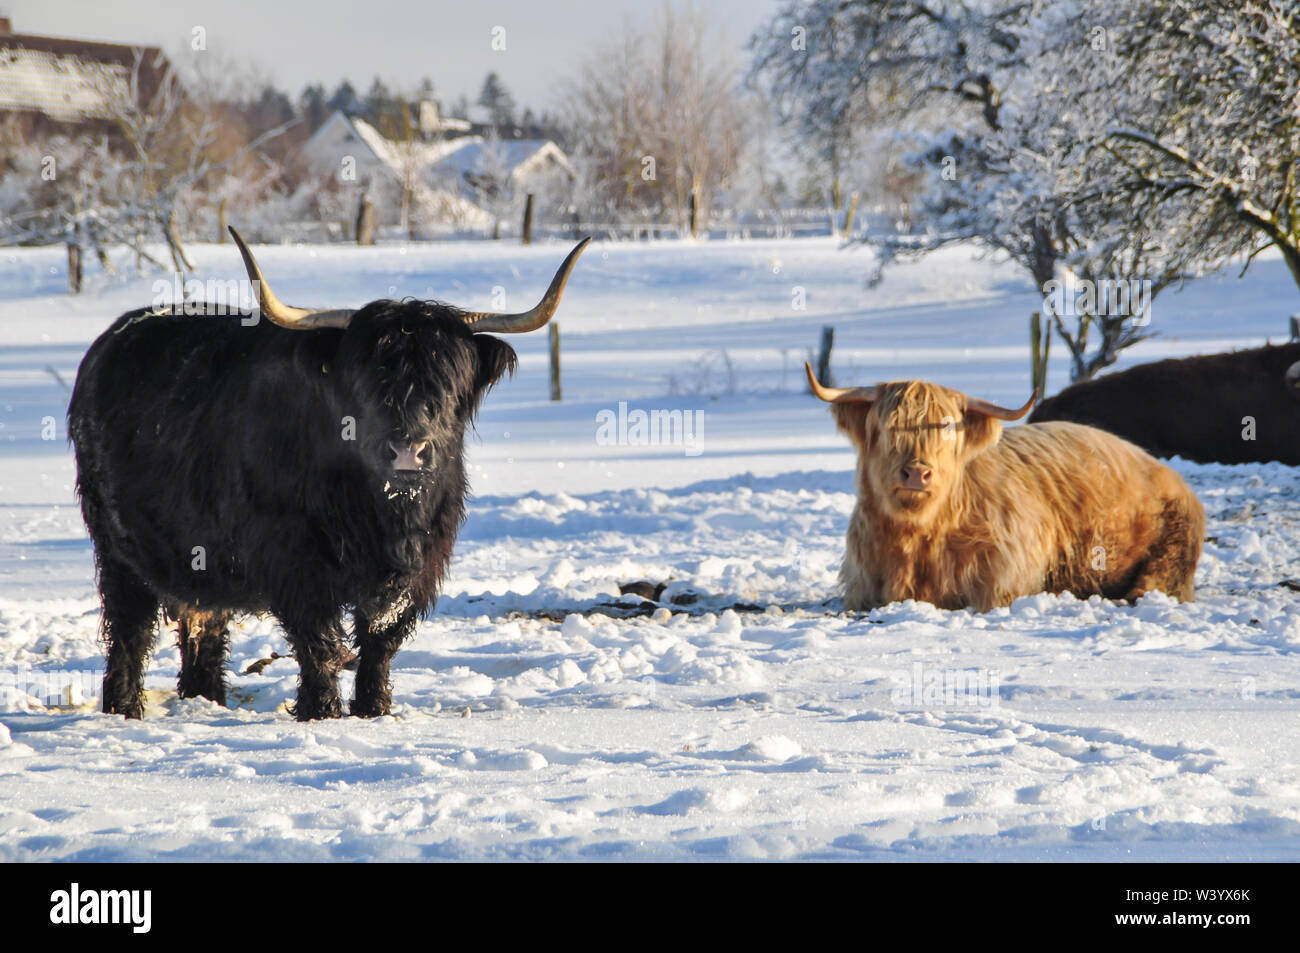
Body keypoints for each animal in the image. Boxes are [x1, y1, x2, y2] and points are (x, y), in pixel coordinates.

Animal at [69, 229, 589, 720]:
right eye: (366, 380)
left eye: (450, 381)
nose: (407, 450)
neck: (386, 515)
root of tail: (109, 344)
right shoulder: (295, 563)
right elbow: (320, 645)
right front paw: (321, 713)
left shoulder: (420, 567)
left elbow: (380, 644)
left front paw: (375, 710)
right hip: (118, 550)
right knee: (130, 631)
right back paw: (124, 709)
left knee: (204, 631)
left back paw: (207, 701)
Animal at [807, 362, 1204, 612]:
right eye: (885, 426)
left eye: (947, 427)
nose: (916, 474)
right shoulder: (862, 584)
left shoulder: (1003, 579)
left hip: (1174, 546)